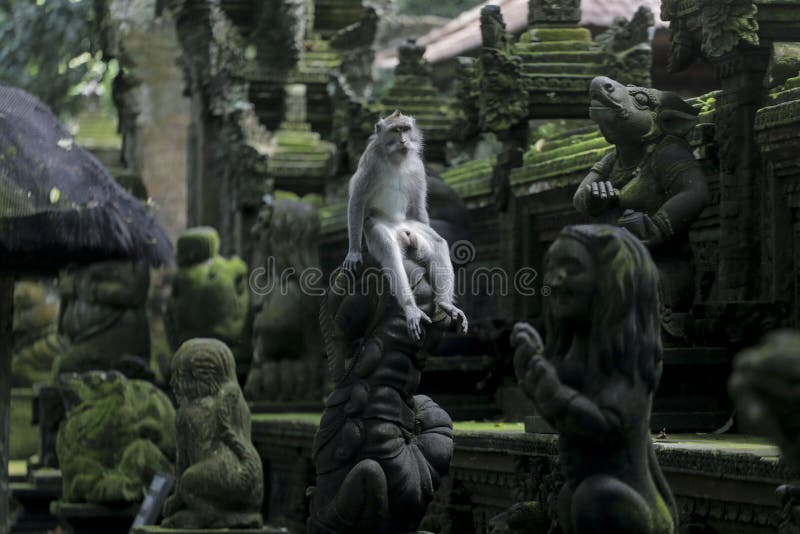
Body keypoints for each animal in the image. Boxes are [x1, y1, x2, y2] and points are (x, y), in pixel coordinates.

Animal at [344, 110, 468, 341]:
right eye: (396, 130)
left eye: (406, 129)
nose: (403, 141)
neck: (396, 159)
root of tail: (401, 230)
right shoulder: (370, 161)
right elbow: (357, 200)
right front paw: (354, 251)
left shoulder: (417, 166)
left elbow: (418, 205)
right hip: (376, 229)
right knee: (389, 250)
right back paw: (411, 308)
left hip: (413, 228)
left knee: (438, 243)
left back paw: (445, 303)